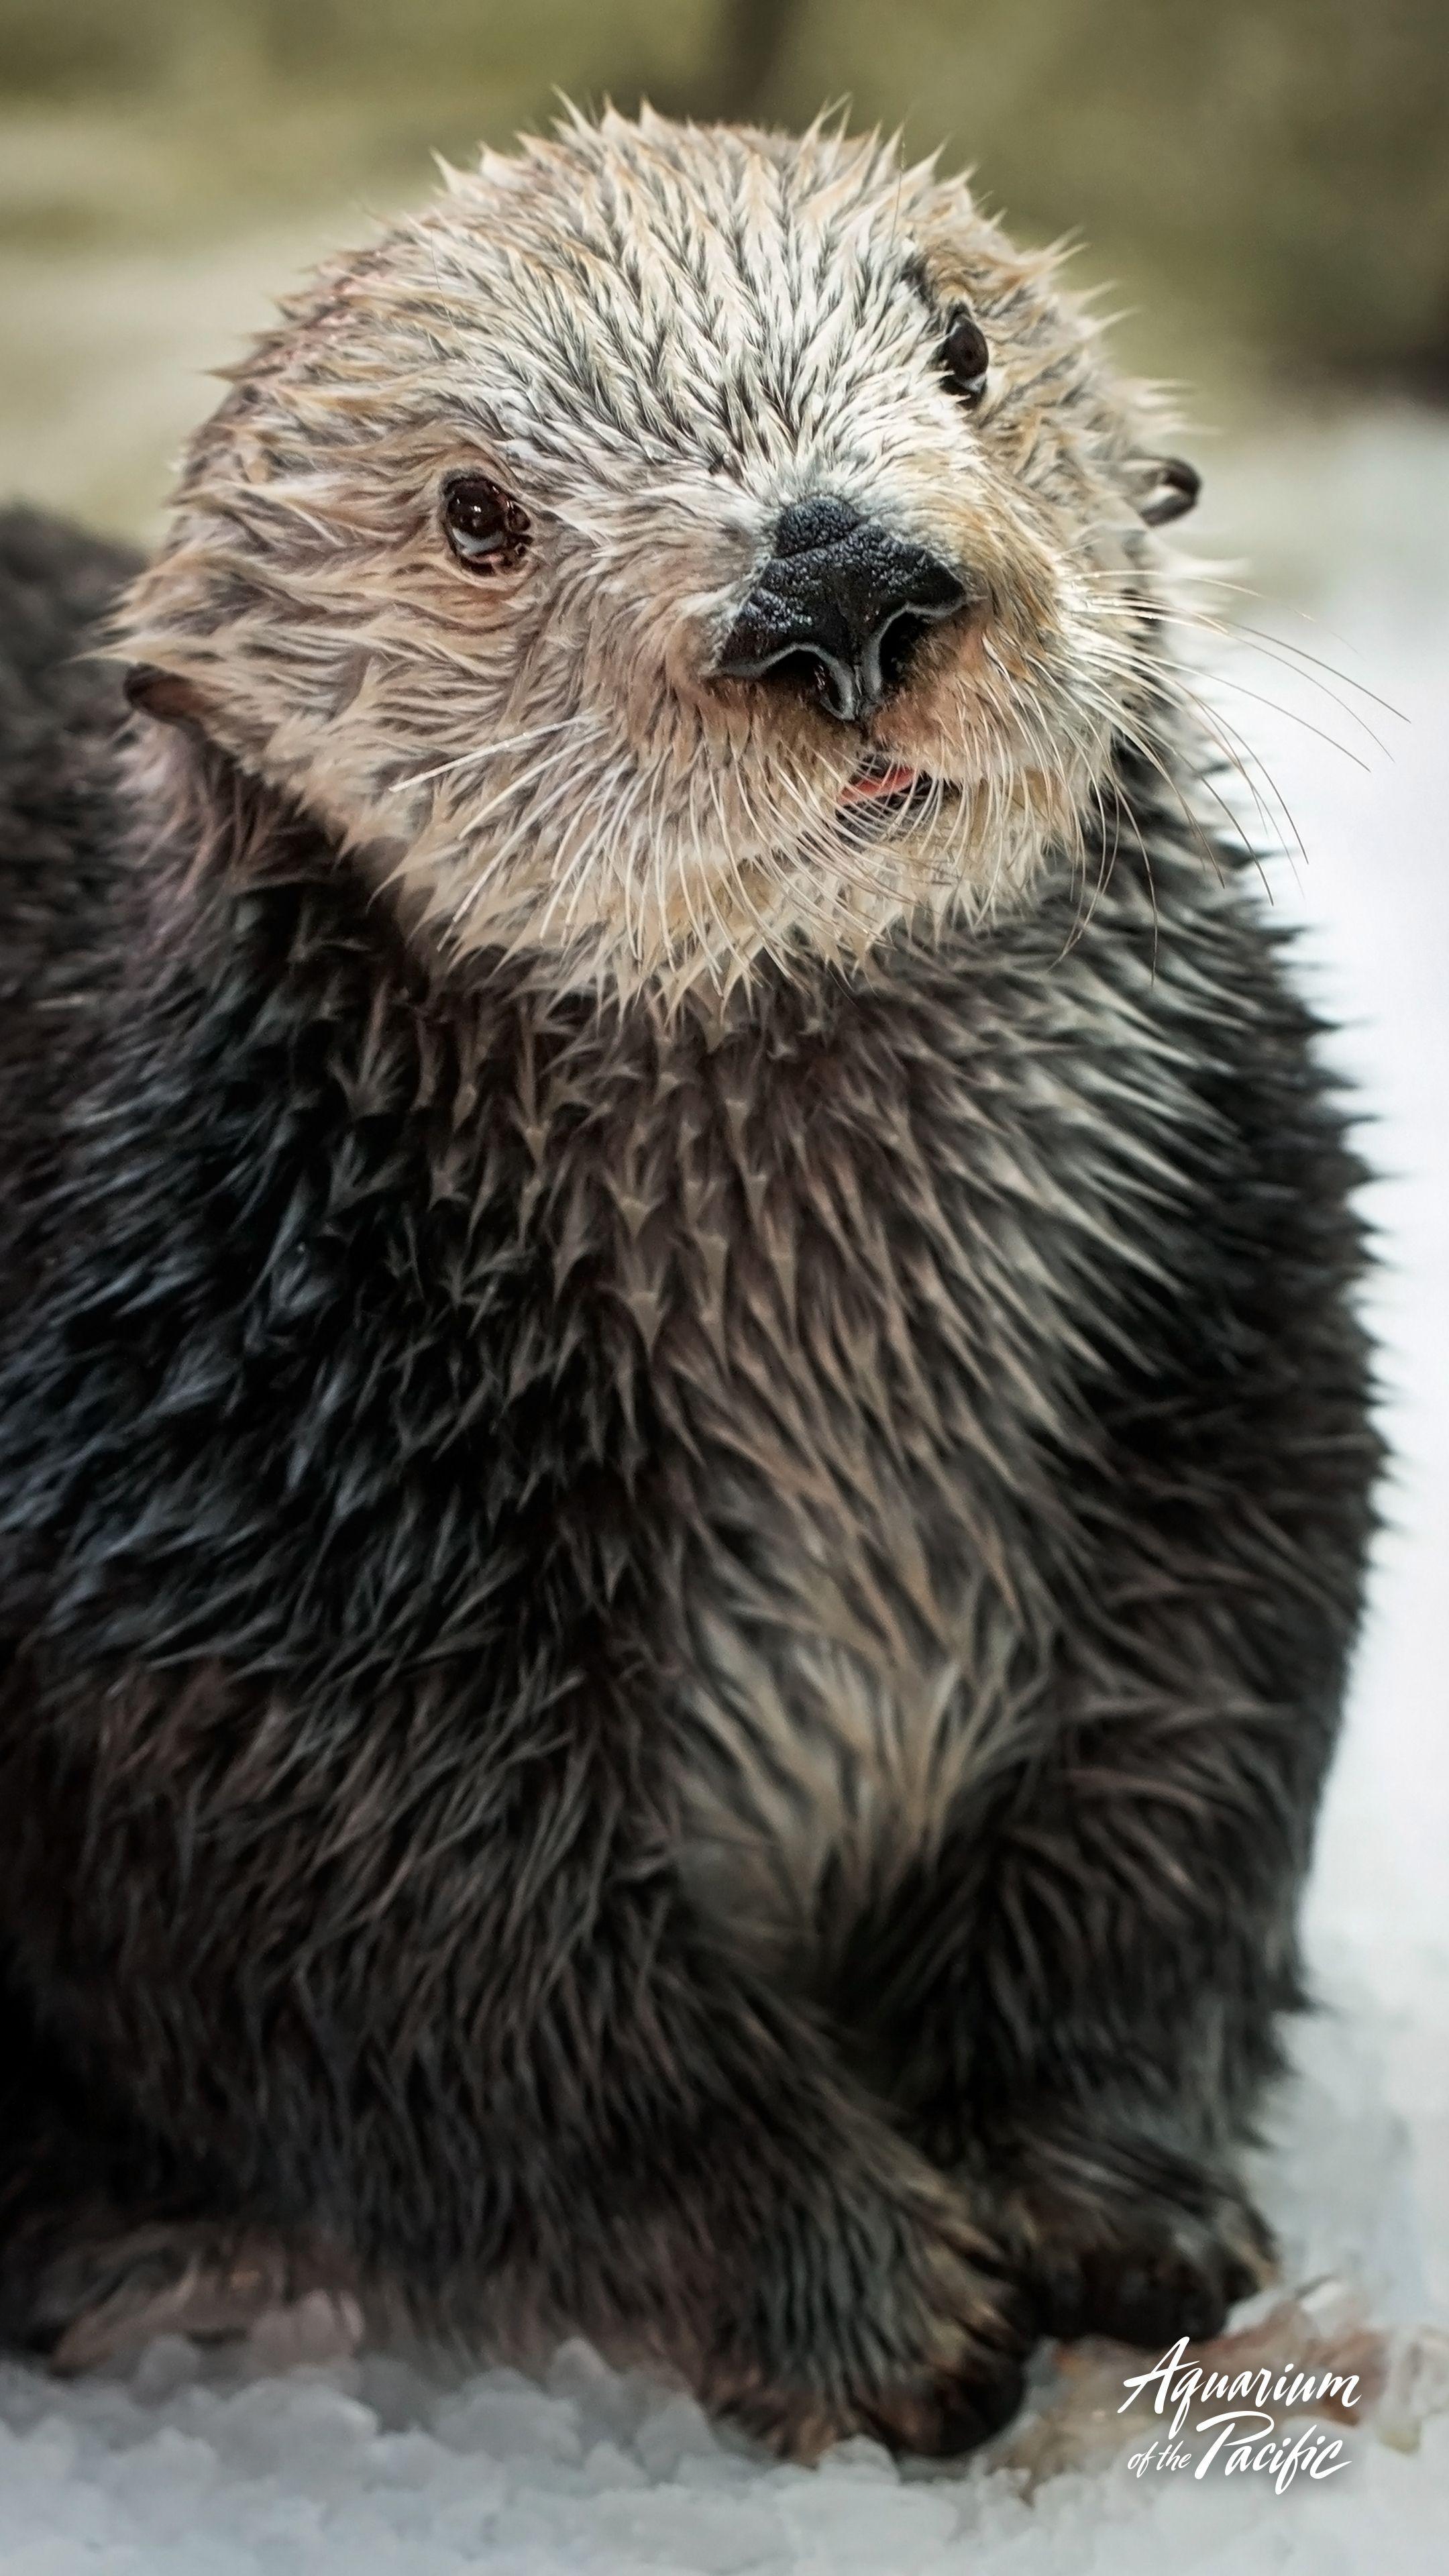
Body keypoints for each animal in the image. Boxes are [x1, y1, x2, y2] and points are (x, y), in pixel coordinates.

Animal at [0, 110, 1377, 2460]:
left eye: (959, 340)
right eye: (475, 511)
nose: (837, 584)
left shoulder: (1240, 1327)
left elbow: (1191, 1770)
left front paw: (1098, 2199)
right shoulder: (220, 1540)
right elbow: (465, 1978)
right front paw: (881, 2305)